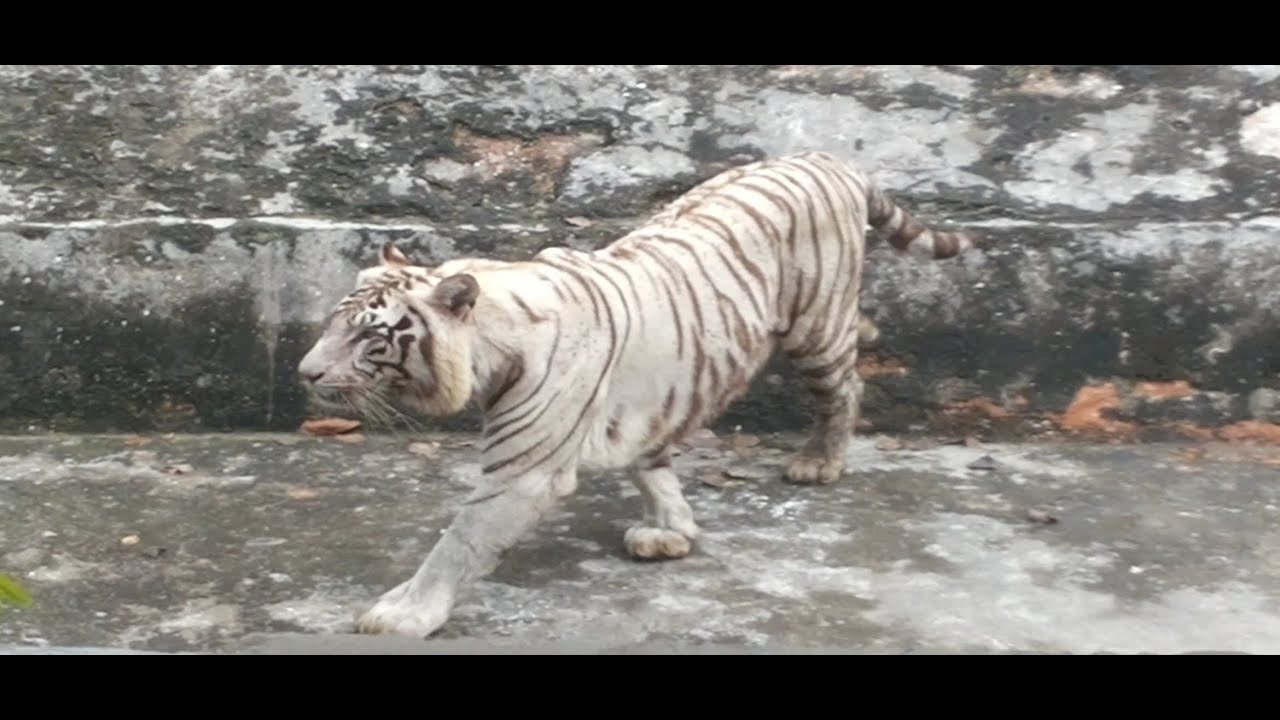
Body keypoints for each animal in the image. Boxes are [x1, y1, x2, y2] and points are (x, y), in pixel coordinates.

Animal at [296, 150, 983, 639]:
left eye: (370, 337)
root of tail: (826, 158)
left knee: (847, 383)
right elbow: (652, 470)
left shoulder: (522, 473)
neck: (491, 343)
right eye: (335, 323)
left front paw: (402, 615)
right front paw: (671, 531)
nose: (305, 374)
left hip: (816, 327)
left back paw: (821, 461)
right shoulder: (643, 414)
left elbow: (456, 543)